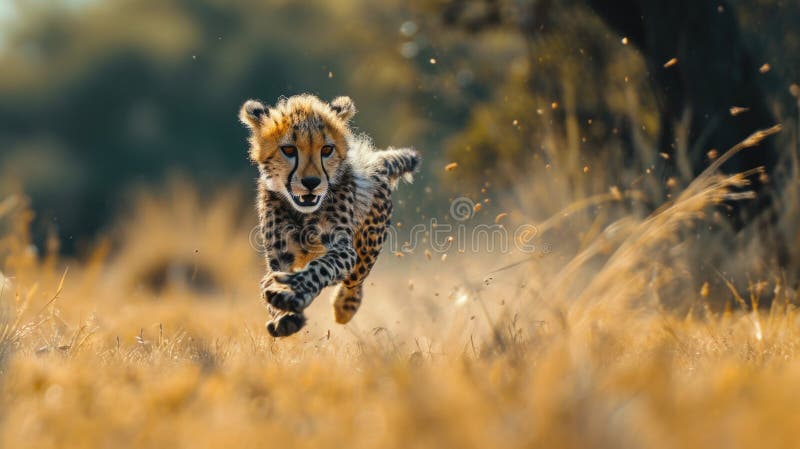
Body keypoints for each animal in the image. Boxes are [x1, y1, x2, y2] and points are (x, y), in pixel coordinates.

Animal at [239, 94, 420, 337]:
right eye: (289, 150)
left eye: (326, 150)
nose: (311, 182)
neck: (303, 215)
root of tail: (376, 163)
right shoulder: (279, 259)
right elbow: (267, 283)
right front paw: (284, 315)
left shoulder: (341, 245)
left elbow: (323, 266)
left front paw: (292, 291)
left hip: (367, 247)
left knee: (354, 280)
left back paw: (345, 307)